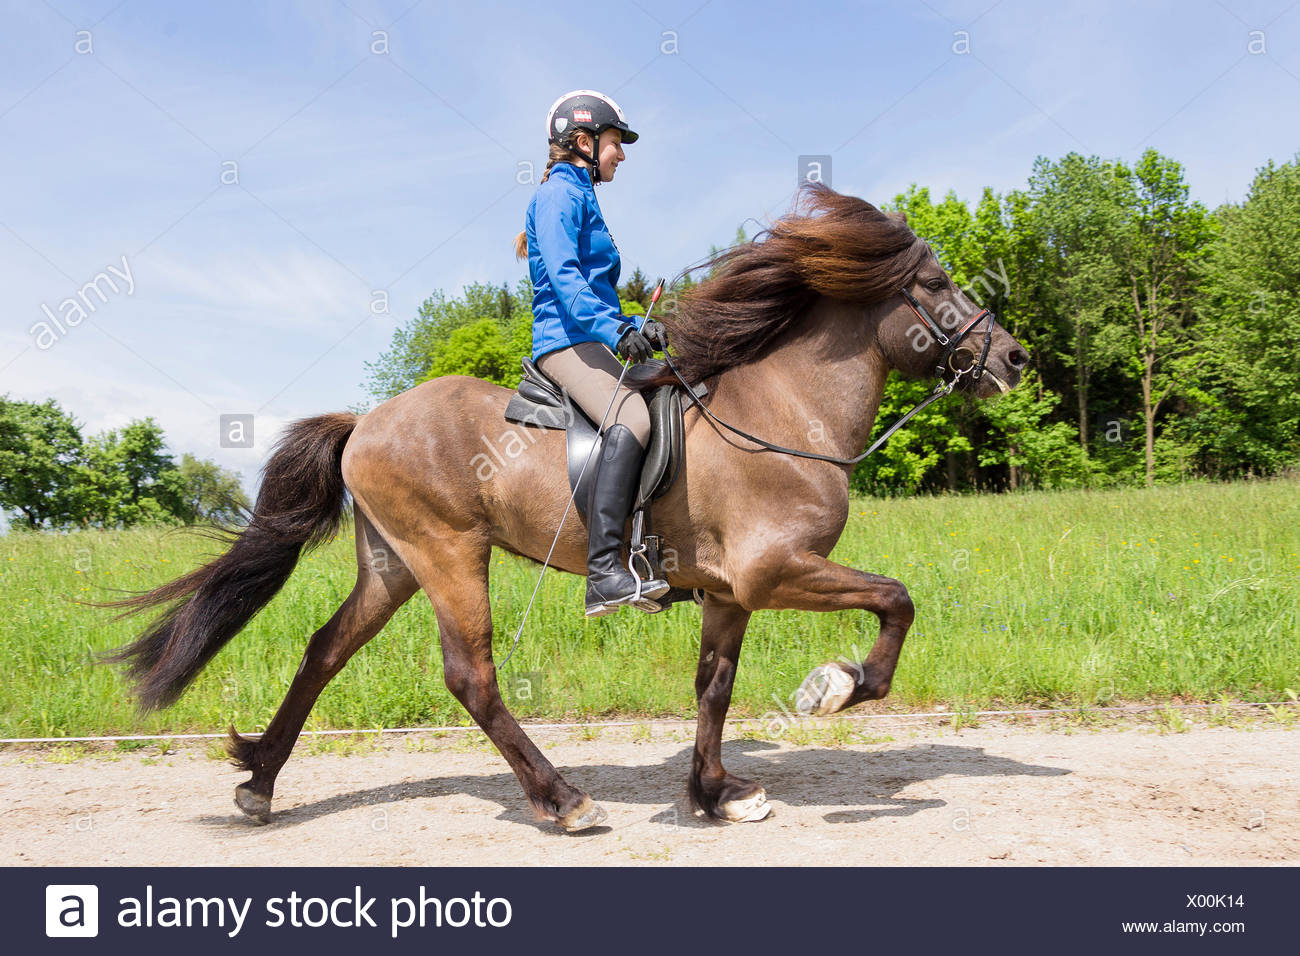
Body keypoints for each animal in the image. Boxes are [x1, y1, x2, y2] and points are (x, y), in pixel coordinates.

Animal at [101, 183, 1028, 830]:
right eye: (936, 282)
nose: (1015, 359)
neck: (780, 411)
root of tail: (367, 419)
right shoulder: (775, 570)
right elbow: (897, 600)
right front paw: (835, 687)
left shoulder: (731, 592)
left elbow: (714, 688)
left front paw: (717, 793)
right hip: (449, 554)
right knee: (471, 677)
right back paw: (563, 799)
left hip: (393, 562)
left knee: (326, 649)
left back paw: (259, 783)